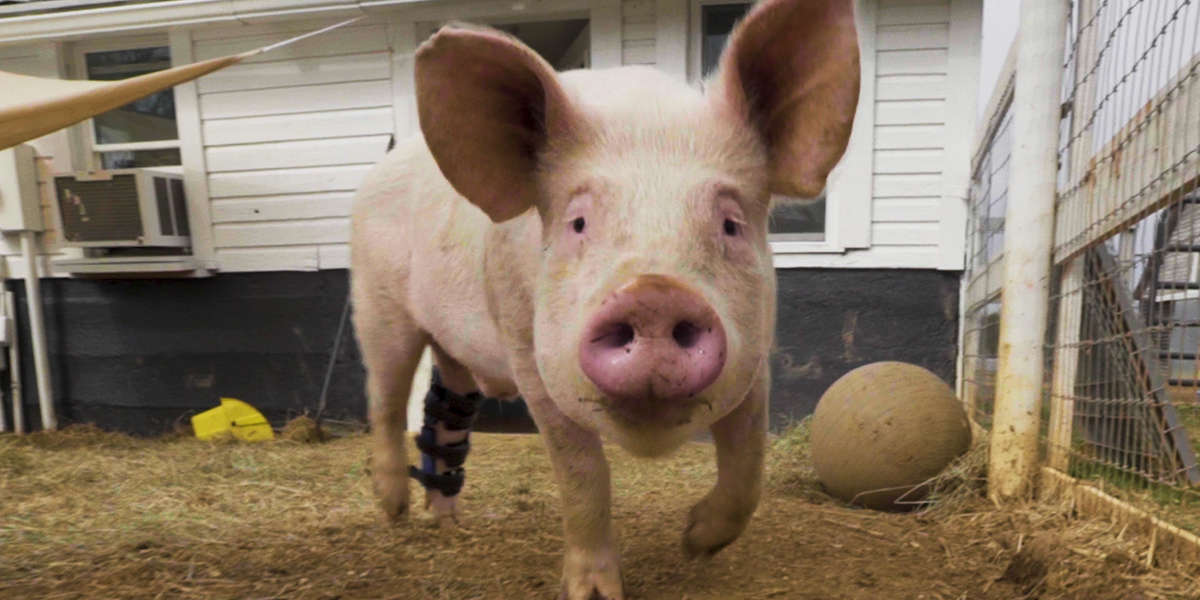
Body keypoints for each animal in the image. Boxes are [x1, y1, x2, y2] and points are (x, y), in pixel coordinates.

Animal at [349, 0, 860, 597]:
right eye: (578, 222)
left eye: (731, 224)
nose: (654, 294)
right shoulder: (530, 354)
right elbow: (583, 475)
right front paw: (594, 592)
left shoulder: (756, 356)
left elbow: (747, 465)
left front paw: (694, 542)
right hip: (377, 301)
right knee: (384, 398)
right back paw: (393, 510)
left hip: (453, 346)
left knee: (444, 407)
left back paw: (448, 522)